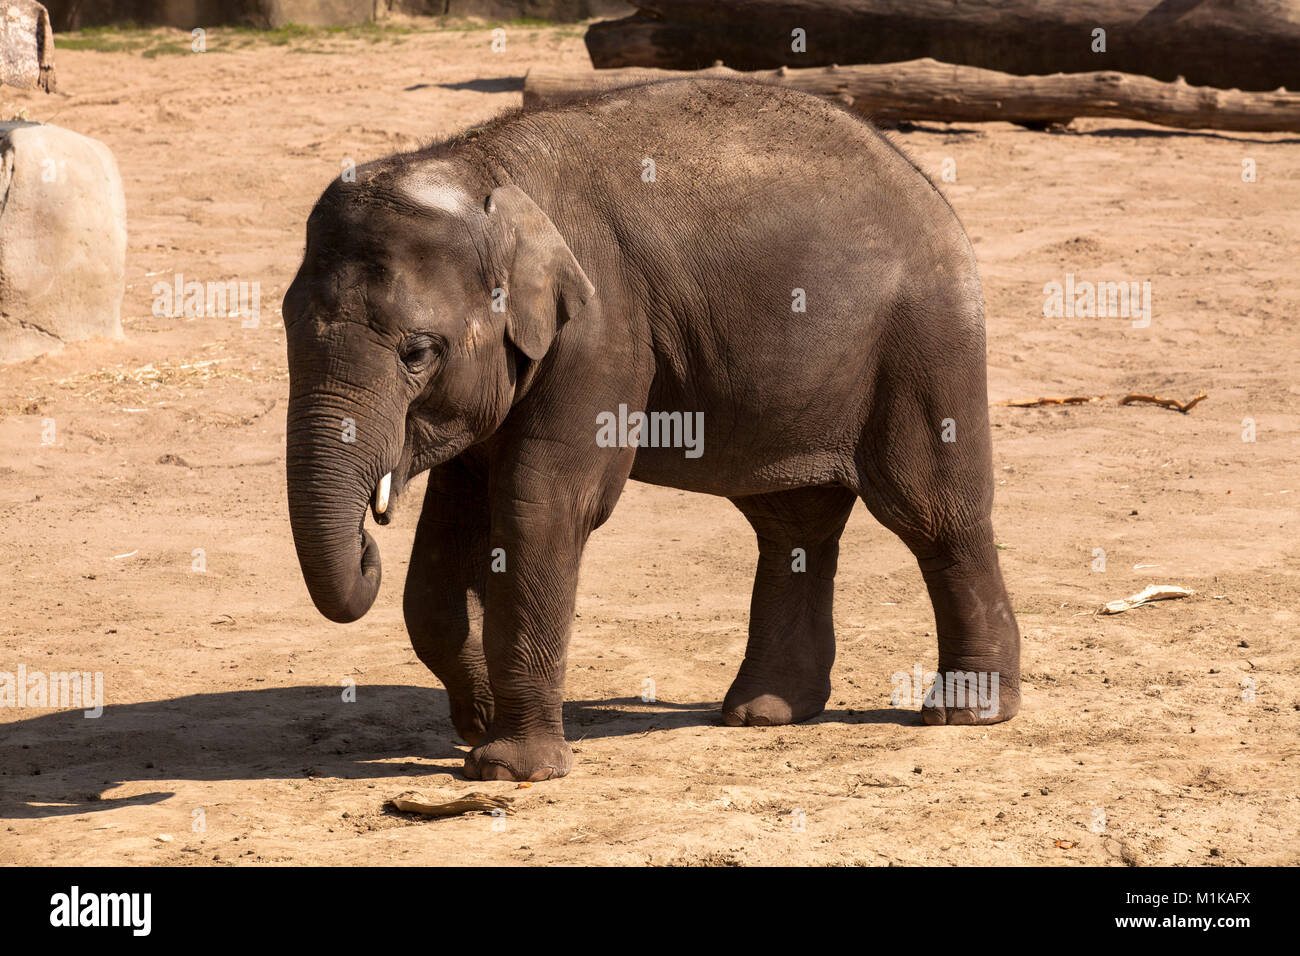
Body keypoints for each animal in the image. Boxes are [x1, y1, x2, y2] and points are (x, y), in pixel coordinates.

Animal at [282, 78, 1020, 782]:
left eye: (417, 352)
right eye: (285, 330)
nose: (368, 541)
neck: (482, 164)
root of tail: (924, 182)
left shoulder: (601, 330)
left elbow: (543, 506)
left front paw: (507, 770)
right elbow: (447, 537)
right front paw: (479, 724)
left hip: (923, 339)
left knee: (932, 512)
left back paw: (965, 713)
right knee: (791, 523)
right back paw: (765, 713)